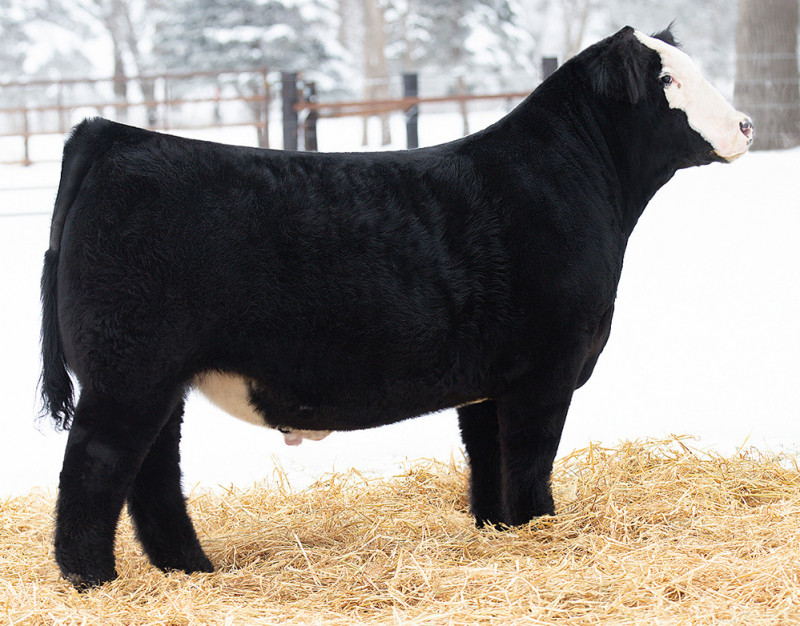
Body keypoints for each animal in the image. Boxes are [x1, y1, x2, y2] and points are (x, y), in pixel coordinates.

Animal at [40, 26, 753, 588]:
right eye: (669, 79)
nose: (746, 124)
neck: (571, 184)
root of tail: (113, 134)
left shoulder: (489, 382)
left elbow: (489, 461)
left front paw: (498, 534)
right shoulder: (546, 369)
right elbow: (529, 460)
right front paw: (540, 531)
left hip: (158, 379)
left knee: (152, 474)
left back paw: (189, 570)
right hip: (127, 372)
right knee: (95, 473)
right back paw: (94, 582)